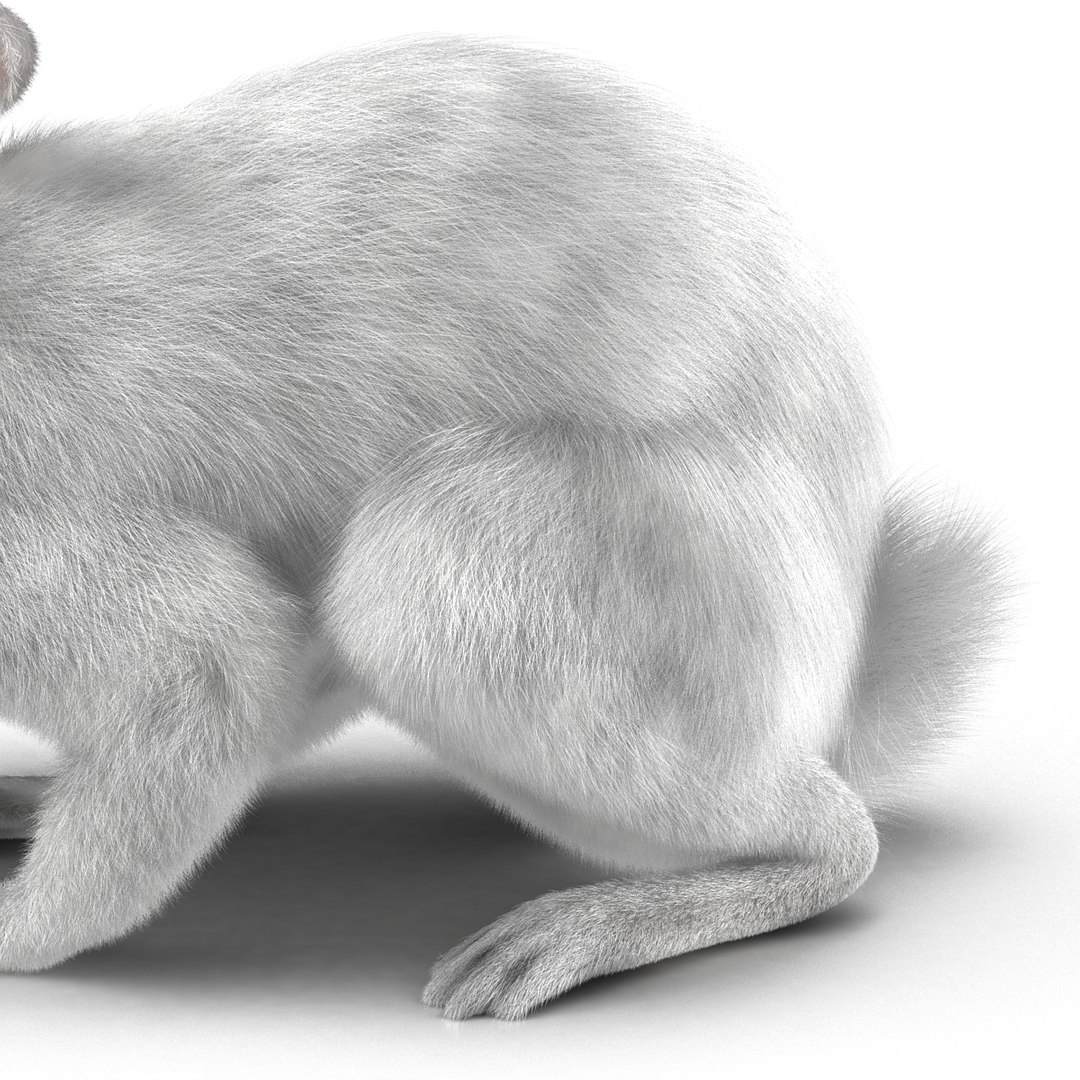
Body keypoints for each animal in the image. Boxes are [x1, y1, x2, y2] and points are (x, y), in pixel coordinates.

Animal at [0, 6, 1011, 1019]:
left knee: (838, 834)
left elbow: (211, 667)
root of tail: (837, 681)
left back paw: (591, 925)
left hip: (516, 568)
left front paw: (13, 933)